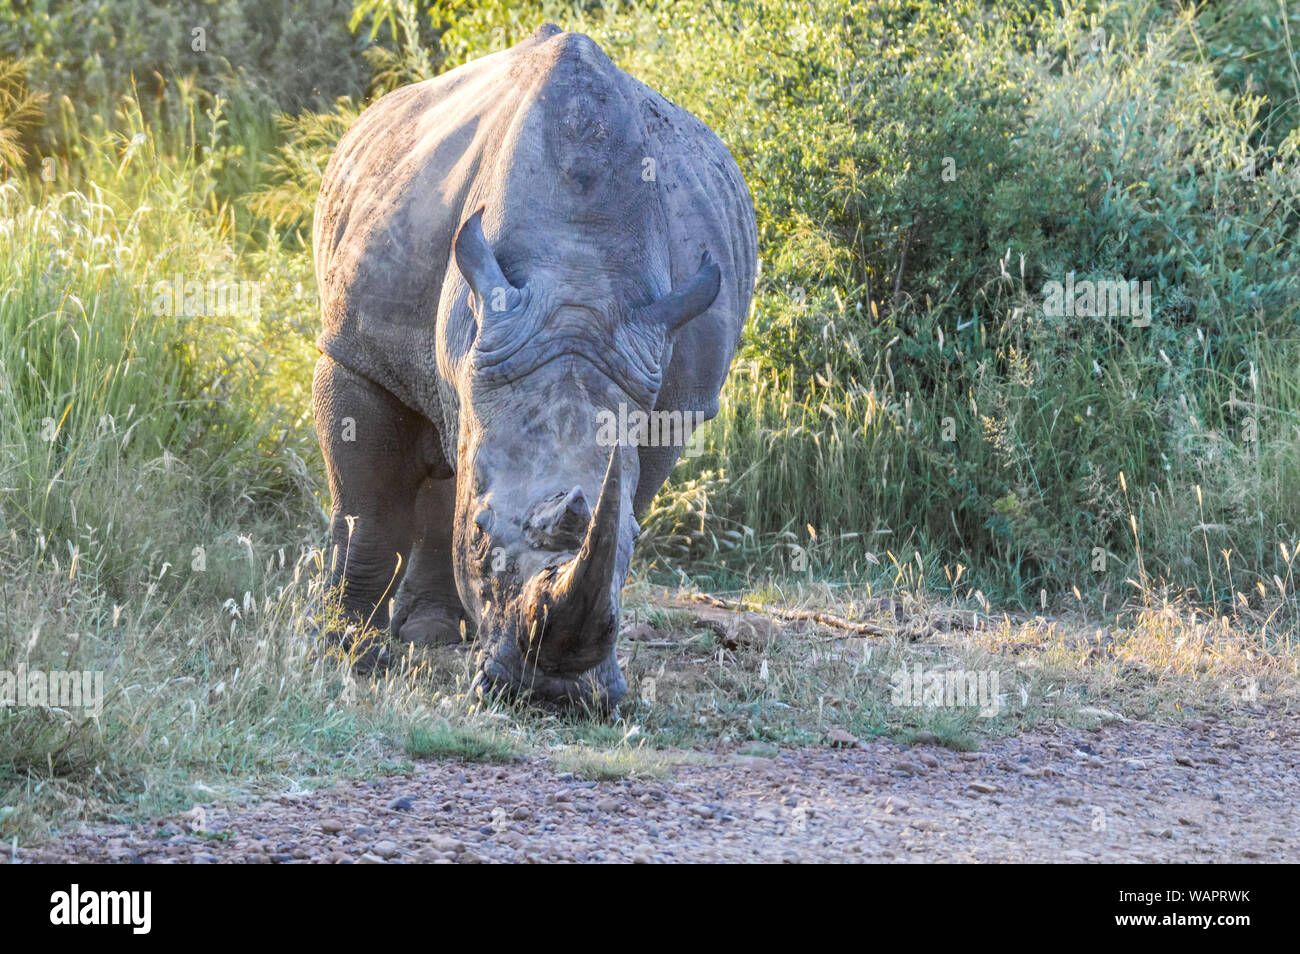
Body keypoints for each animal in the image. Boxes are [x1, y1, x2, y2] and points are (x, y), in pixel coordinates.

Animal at [311, 23, 757, 708]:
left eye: (634, 553)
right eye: (481, 534)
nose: (553, 692)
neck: (574, 274)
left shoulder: (669, 397)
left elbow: (618, 499)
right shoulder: (360, 355)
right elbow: (371, 513)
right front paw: (348, 653)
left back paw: (433, 631)